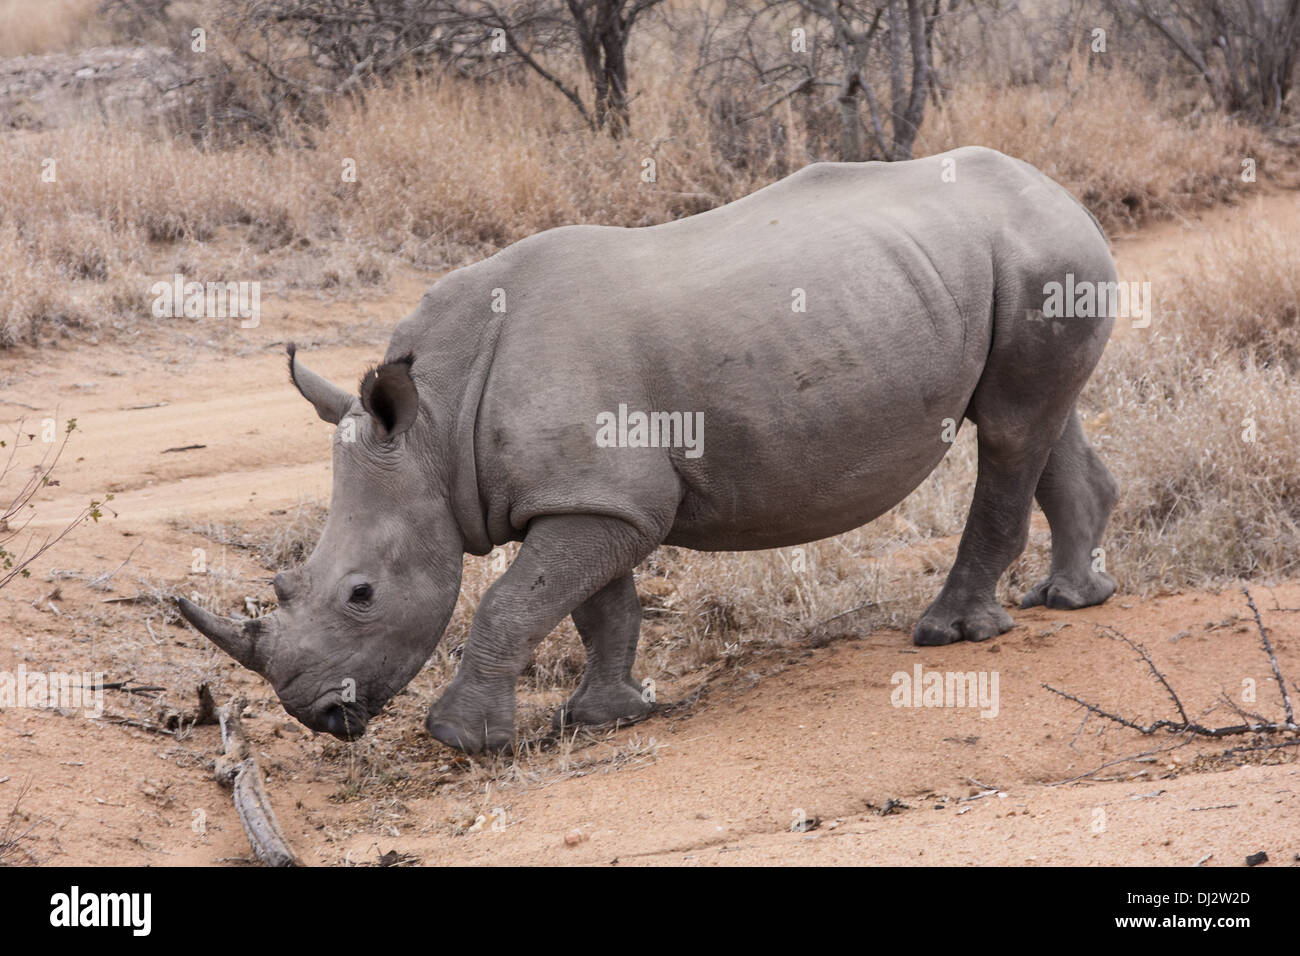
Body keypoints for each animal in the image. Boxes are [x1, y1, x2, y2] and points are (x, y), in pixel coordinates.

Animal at [179, 146, 1118, 752]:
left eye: (361, 594)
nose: (313, 713)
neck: (433, 426)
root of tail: (1062, 192)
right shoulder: (592, 494)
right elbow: (599, 606)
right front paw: (605, 717)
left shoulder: (600, 496)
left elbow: (512, 603)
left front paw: (462, 740)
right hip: (1015, 264)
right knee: (1036, 419)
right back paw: (1072, 600)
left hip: (1038, 255)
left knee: (1010, 430)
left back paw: (950, 634)